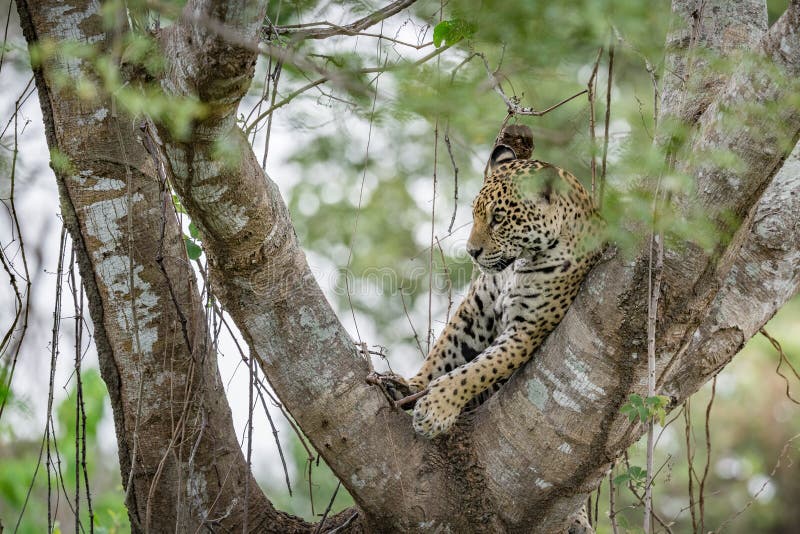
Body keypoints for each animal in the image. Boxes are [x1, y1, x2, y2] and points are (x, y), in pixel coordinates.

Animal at [405, 136, 603, 439]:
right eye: (474, 214)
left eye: (498, 218)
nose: (471, 252)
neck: (516, 266)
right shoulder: (474, 312)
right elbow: (442, 354)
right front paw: (411, 385)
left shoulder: (526, 329)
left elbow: (478, 370)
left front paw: (437, 407)